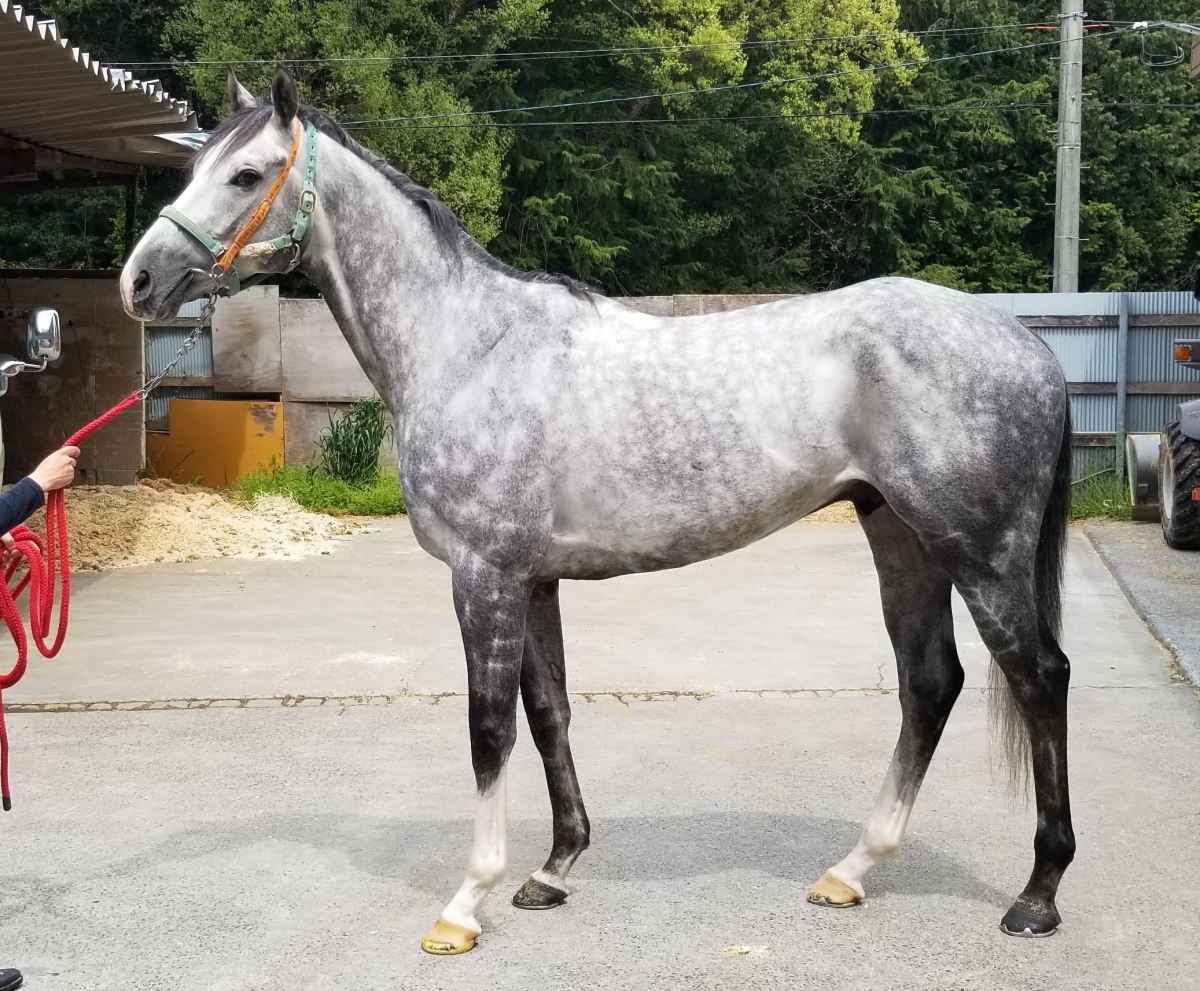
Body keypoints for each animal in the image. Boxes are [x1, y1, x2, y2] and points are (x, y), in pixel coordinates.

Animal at [121, 68, 1075, 953]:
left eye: (246, 173)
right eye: (194, 164)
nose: (139, 280)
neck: (469, 347)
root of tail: (1027, 343)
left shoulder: (484, 577)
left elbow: (489, 728)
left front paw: (466, 902)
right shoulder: (534, 579)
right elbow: (549, 713)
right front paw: (552, 869)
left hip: (980, 553)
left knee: (1040, 678)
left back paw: (1036, 894)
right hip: (901, 536)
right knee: (930, 682)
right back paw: (852, 869)